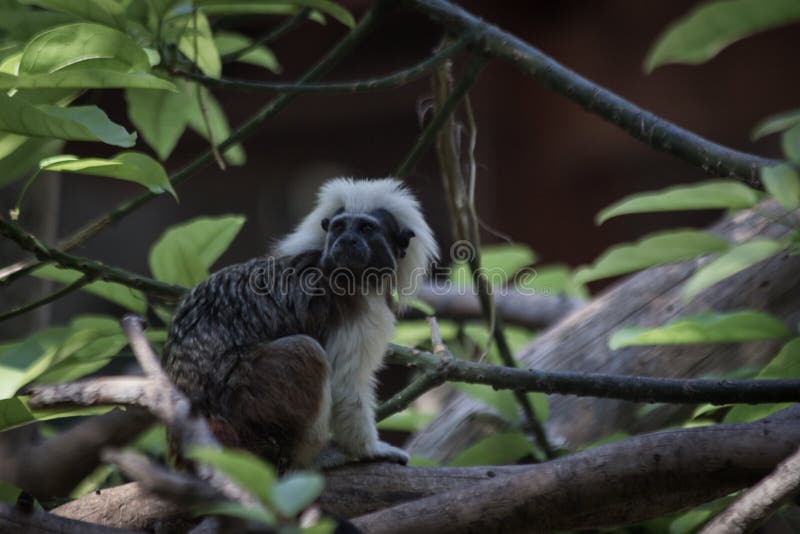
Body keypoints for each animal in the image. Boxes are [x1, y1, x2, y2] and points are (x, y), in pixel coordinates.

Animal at [163, 178, 439, 471]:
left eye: (366, 228)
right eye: (340, 227)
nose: (347, 240)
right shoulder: (361, 307)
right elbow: (345, 387)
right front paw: (368, 450)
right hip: (242, 400)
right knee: (305, 350)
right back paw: (307, 459)